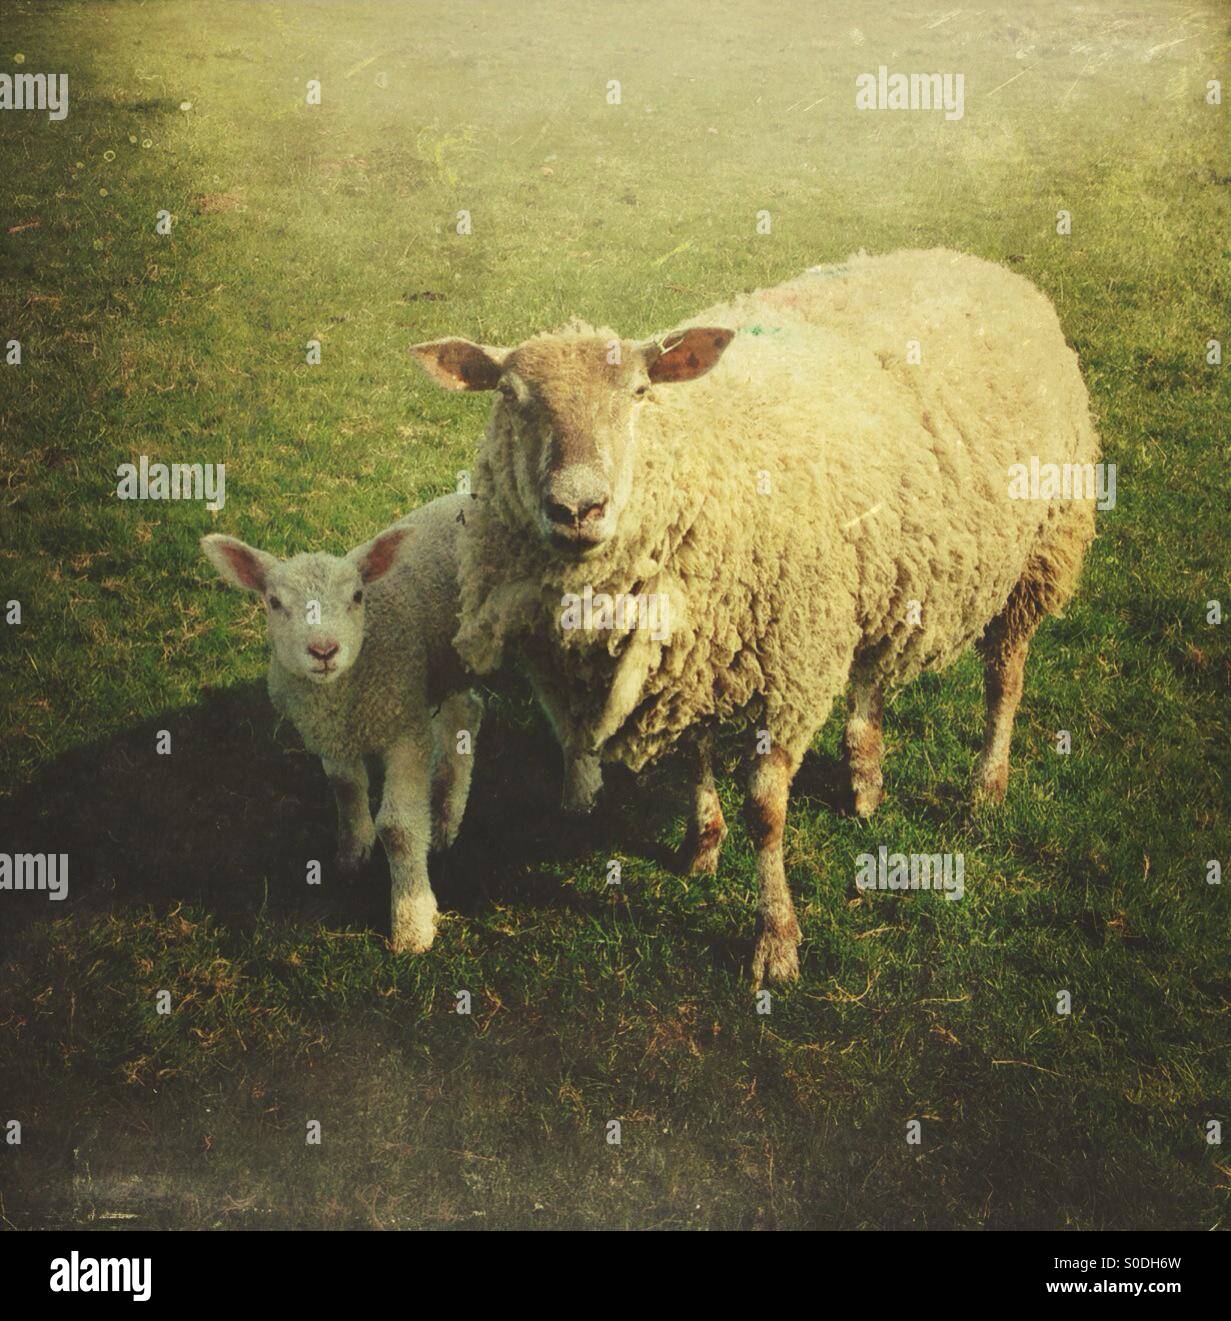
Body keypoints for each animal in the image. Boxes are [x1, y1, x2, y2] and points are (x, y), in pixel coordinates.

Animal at [201, 493, 483, 954]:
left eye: (357, 595)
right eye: (274, 602)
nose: (324, 650)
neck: (341, 698)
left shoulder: (404, 728)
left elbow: (399, 829)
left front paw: (412, 922)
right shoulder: (330, 735)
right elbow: (346, 788)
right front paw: (353, 852)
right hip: (447, 662)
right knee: (466, 717)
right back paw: (445, 818)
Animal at [410, 248, 1099, 983]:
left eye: (639, 392)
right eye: (509, 397)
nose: (577, 507)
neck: (698, 452)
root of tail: (975, 261)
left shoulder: (790, 659)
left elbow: (767, 810)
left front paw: (776, 939)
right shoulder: (693, 654)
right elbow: (696, 756)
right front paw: (702, 842)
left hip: (1039, 548)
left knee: (1005, 674)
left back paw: (986, 785)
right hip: (873, 571)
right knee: (870, 671)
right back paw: (864, 771)